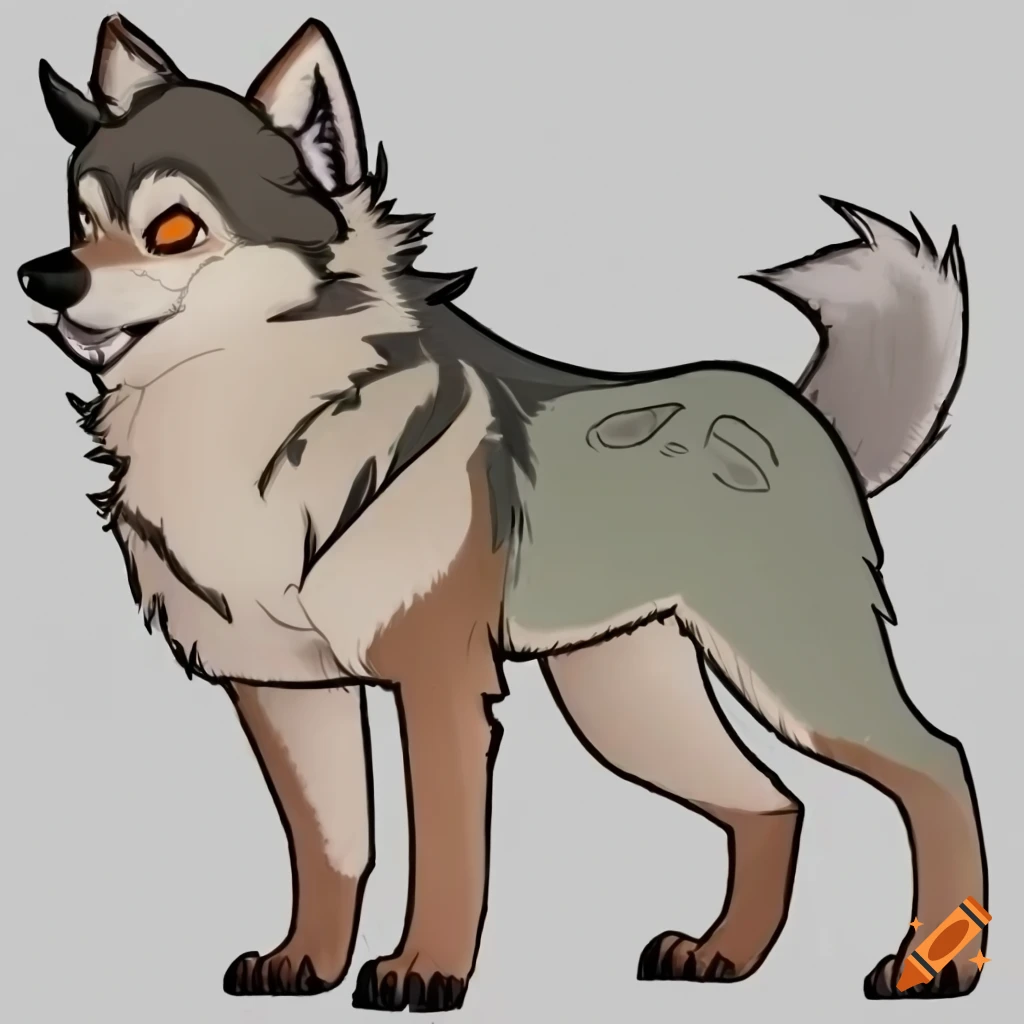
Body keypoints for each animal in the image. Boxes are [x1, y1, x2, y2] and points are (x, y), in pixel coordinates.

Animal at [19, 12, 987, 1013]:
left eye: (174, 229)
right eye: (79, 223)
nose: (42, 278)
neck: (244, 415)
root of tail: (805, 414)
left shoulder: (437, 685)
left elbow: (445, 852)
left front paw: (422, 971)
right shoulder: (289, 692)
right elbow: (331, 849)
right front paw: (307, 963)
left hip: (795, 673)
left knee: (939, 762)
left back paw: (935, 965)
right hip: (626, 703)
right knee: (772, 803)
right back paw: (722, 955)